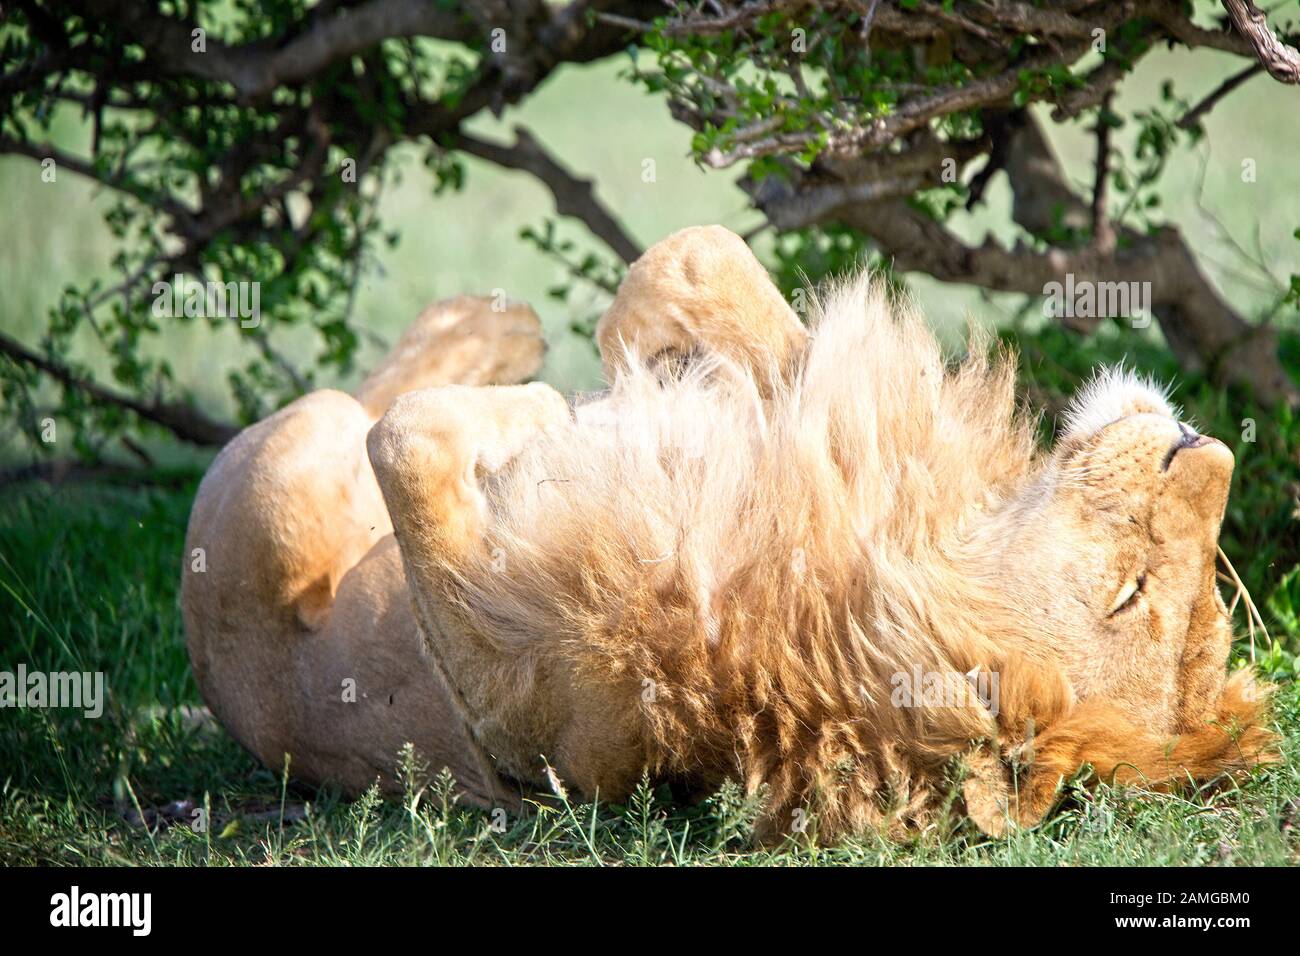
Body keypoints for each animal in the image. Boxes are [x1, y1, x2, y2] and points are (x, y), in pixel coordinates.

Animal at [182, 225, 1277, 842]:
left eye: (1128, 593)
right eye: (1175, 603)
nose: (1205, 446)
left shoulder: (527, 712)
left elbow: (415, 446)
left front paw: (544, 415)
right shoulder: (824, 443)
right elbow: (728, 282)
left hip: (275, 471)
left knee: (363, 407)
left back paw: (499, 347)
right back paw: (507, 325)